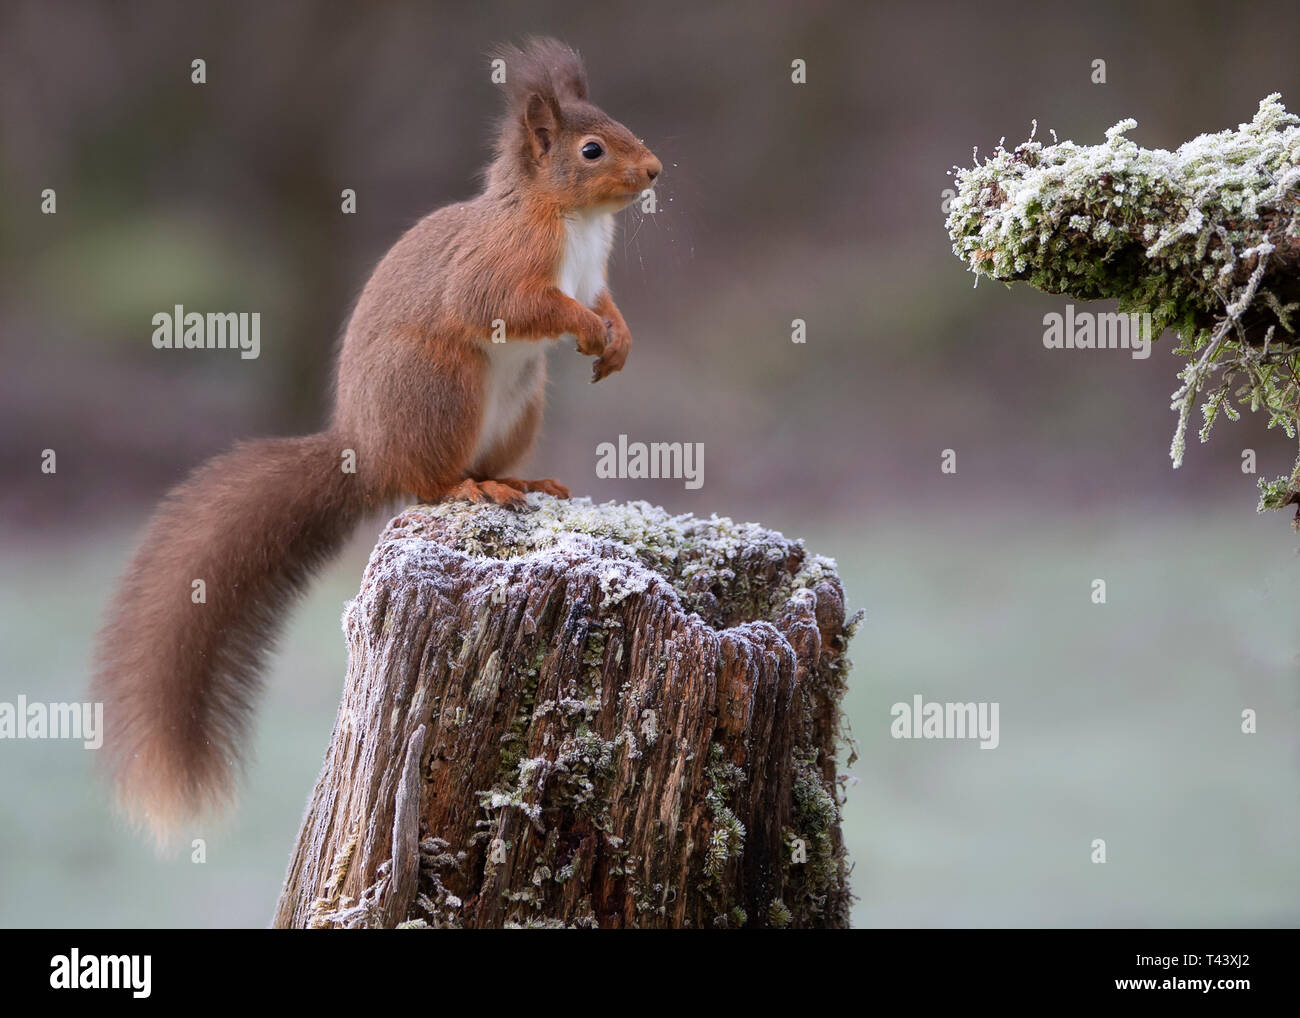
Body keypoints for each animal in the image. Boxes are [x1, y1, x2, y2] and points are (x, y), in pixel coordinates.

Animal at [90, 37, 661, 847]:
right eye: (591, 150)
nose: (655, 170)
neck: (572, 221)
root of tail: (364, 451)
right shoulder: (499, 267)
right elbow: (514, 303)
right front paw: (583, 326)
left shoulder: (592, 277)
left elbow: (605, 301)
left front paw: (617, 338)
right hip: (442, 385)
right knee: (430, 479)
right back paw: (471, 486)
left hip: (522, 401)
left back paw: (520, 481)